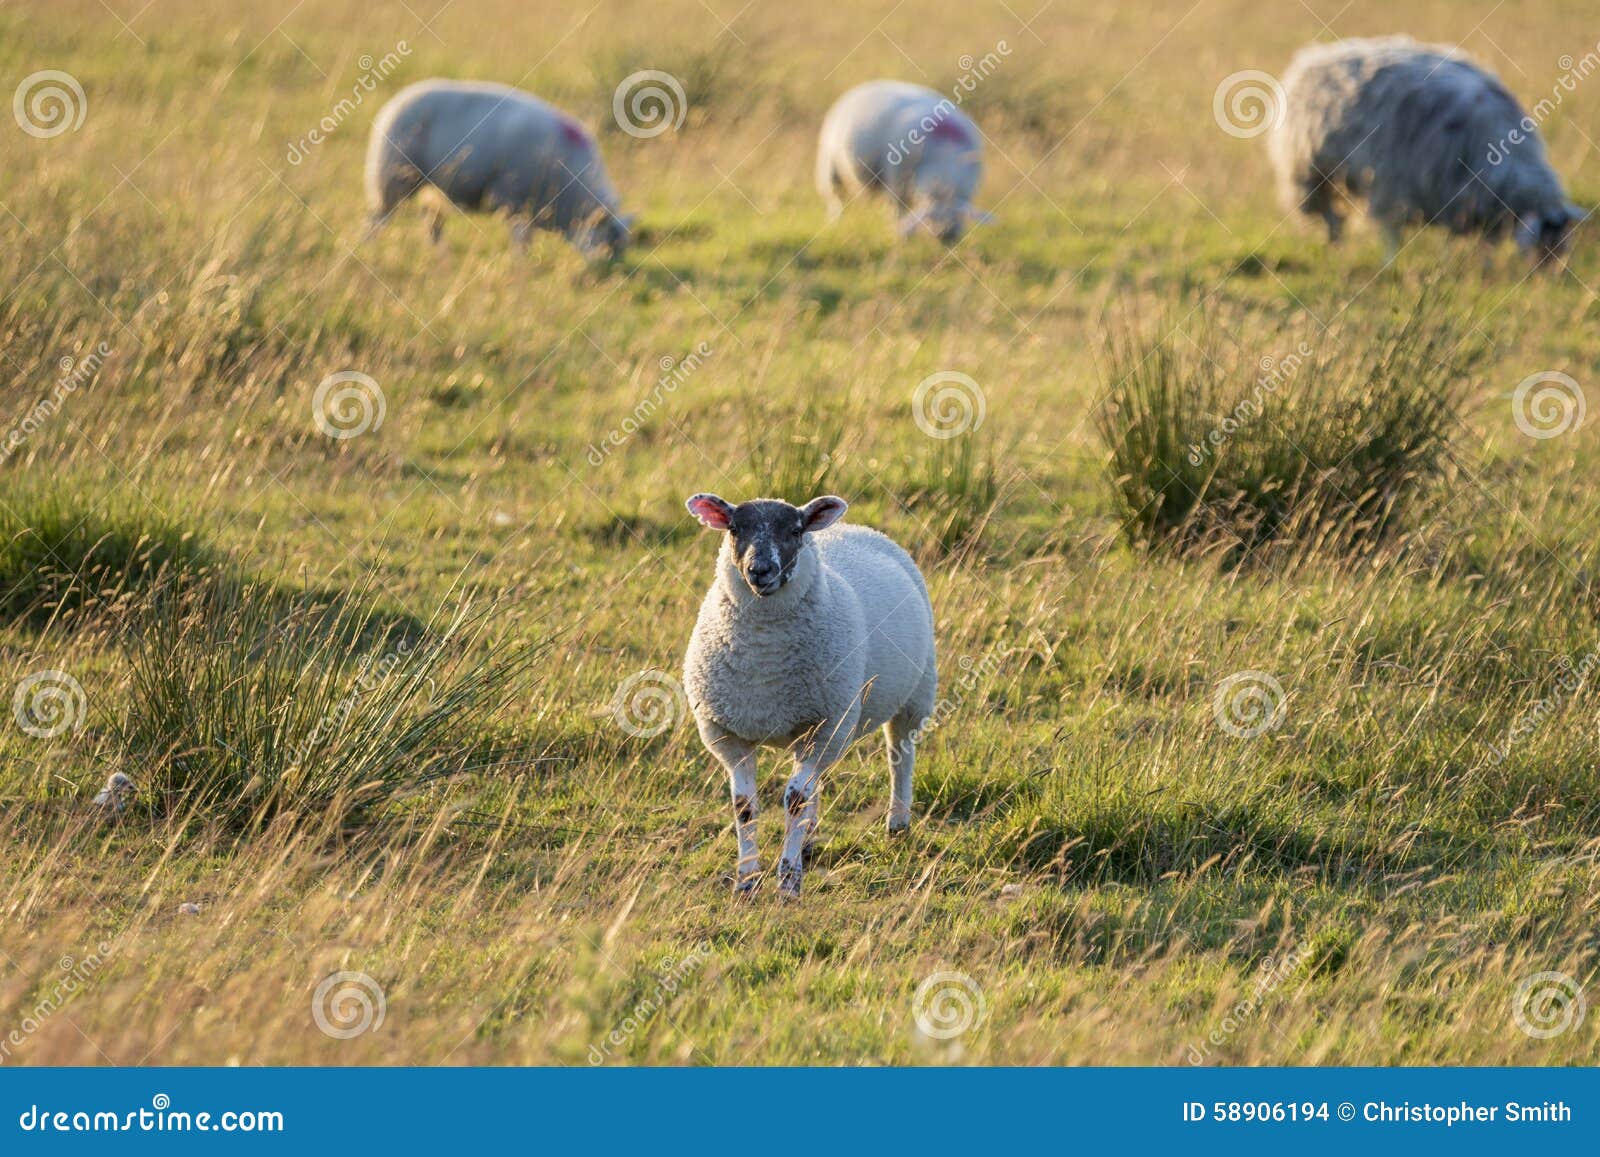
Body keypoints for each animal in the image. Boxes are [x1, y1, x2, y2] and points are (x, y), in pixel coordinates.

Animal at [364, 79, 633, 259]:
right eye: (609, 242)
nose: (604, 277)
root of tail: (395, 102)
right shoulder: (512, 199)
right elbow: (520, 240)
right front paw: (521, 266)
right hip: (391, 178)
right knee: (376, 220)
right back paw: (370, 249)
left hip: (432, 186)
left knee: (432, 223)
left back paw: (441, 256)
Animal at [683, 494, 937, 899]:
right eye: (734, 529)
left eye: (795, 531)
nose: (760, 570)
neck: (764, 659)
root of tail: (855, 527)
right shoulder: (729, 734)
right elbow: (745, 806)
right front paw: (747, 882)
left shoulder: (825, 724)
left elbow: (794, 800)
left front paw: (788, 884)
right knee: (815, 782)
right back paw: (808, 841)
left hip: (913, 694)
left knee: (900, 755)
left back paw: (897, 822)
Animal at [816, 80, 994, 242]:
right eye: (930, 210)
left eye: (957, 212)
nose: (946, 236)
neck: (945, 158)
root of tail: (865, 85)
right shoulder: (896, 181)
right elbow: (900, 210)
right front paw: (902, 237)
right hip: (829, 170)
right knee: (836, 202)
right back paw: (835, 226)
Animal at [1269, 37, 1581, 264]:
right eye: (1542, 247)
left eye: (1562, 247)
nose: (1546, 284)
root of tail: (1319, 53)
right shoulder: (1393, 186)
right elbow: (1390, 233)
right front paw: (1390, 264)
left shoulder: (1465, 201)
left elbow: (1481, 244)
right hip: (1309, 172)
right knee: (1329, 217)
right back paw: (1336, 247)